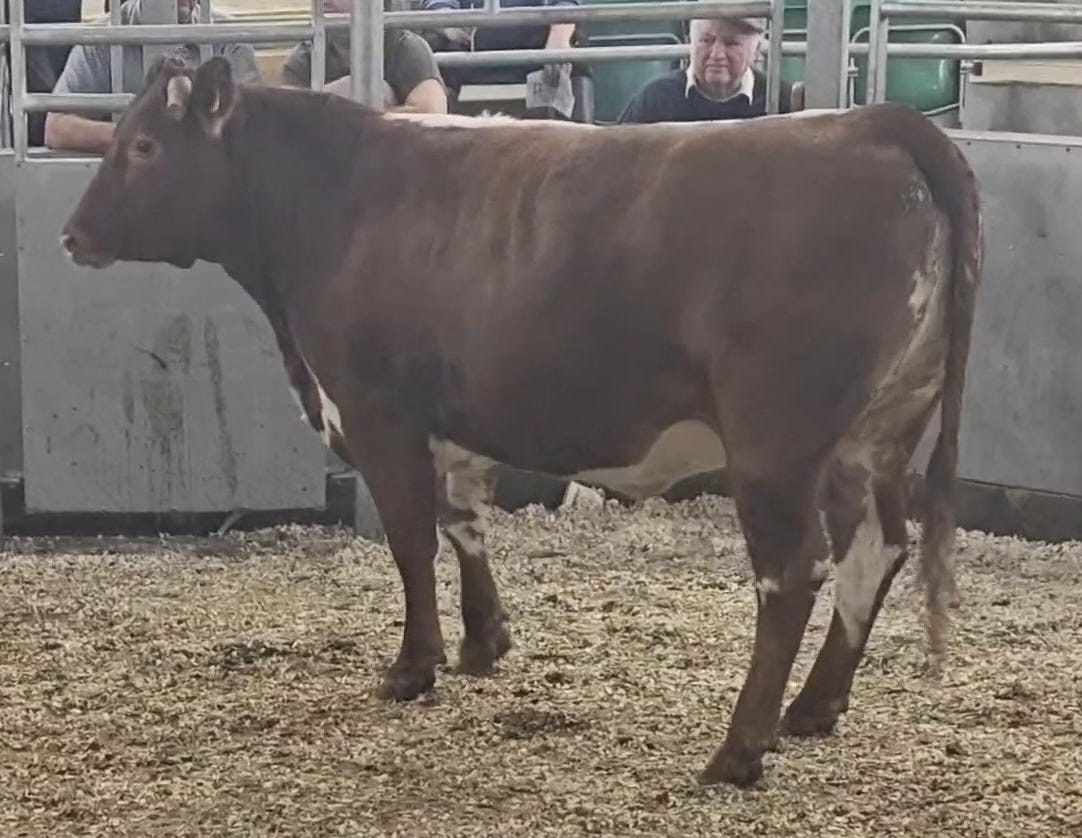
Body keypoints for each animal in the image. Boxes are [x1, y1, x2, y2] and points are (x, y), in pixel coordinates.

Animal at [60, 55, 982, 788]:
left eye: (143, 147)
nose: (72, 235)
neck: (329, 200)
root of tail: (869, 121)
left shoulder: (377, 408)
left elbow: (410, 539)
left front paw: (413, 667)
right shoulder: (452, 413)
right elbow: (463, 521)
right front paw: (484, 644)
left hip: (775, 445)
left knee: (792, 576)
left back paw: (738, 751)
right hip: (878, 432)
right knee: (875, 549)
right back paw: (815, 707)